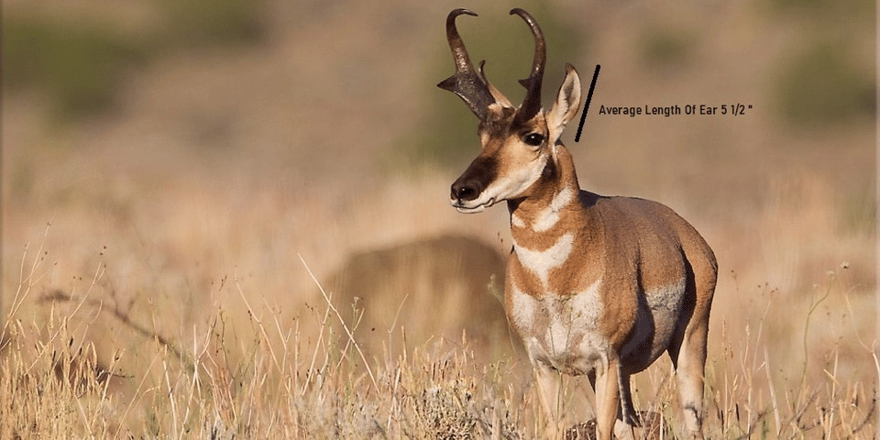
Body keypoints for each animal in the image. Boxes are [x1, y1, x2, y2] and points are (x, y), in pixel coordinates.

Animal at [438, 8, 717, 440]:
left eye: (534, 136)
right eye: (483, 133)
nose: (462, 190)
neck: (555, 279)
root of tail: (686, 233)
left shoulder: (605, 360)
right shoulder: (546, 367)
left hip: (687, 344)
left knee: (691, 419)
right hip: (617, 375)